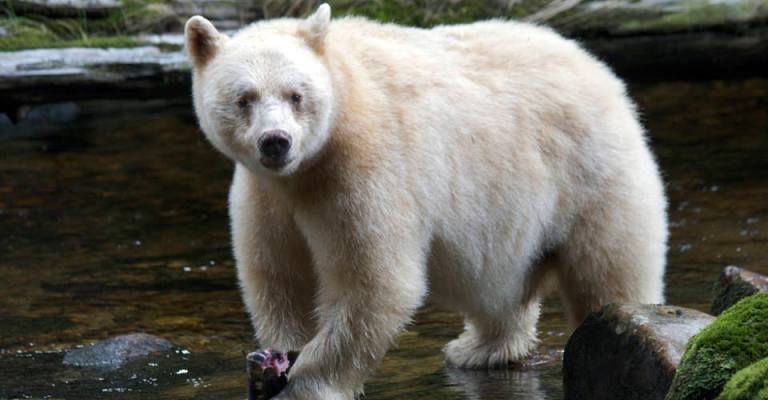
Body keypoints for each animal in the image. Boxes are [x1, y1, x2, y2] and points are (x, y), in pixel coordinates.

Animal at [184, 4, 667, 399]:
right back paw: (479, 348)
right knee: (499, 285)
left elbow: (374, 282)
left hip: (588, 172)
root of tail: (596, 67)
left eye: (296, 95)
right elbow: (278, 275)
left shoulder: (364, 173)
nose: (276, 142)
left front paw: (307, 384)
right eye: (244, 99)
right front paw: (270, 363)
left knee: (607, 268)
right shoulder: (266, 194)